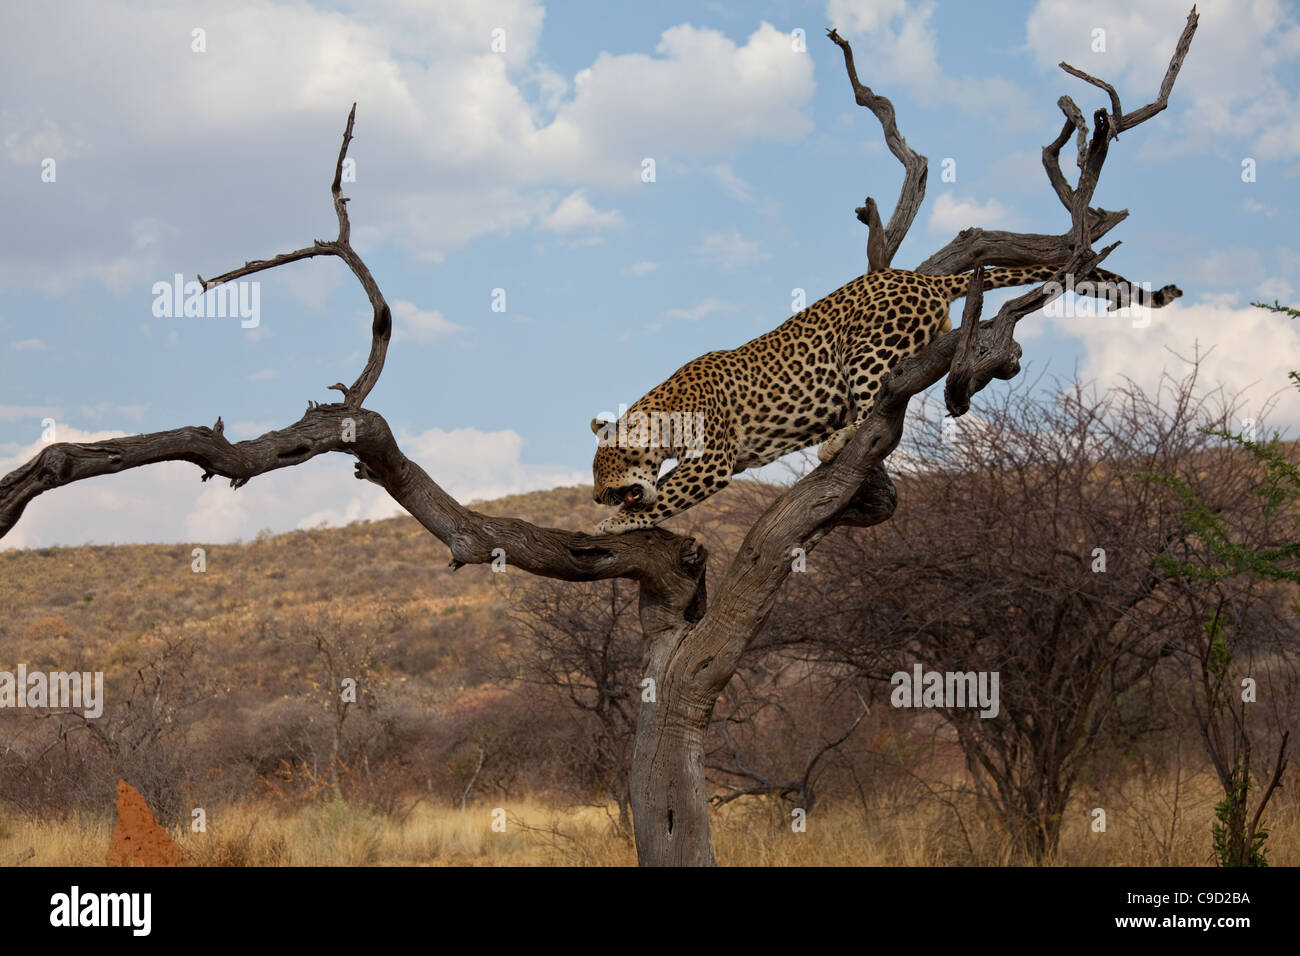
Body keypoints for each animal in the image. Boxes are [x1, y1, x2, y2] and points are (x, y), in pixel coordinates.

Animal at [591, 264, 1179, 534]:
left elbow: (664, 495)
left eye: (605, 467)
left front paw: (609, 524)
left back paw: (838, 441)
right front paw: (613, 517)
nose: (596, 497)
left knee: (879, 404)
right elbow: (660, 492)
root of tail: (922, 278)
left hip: (868, 347)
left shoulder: (712, 460)